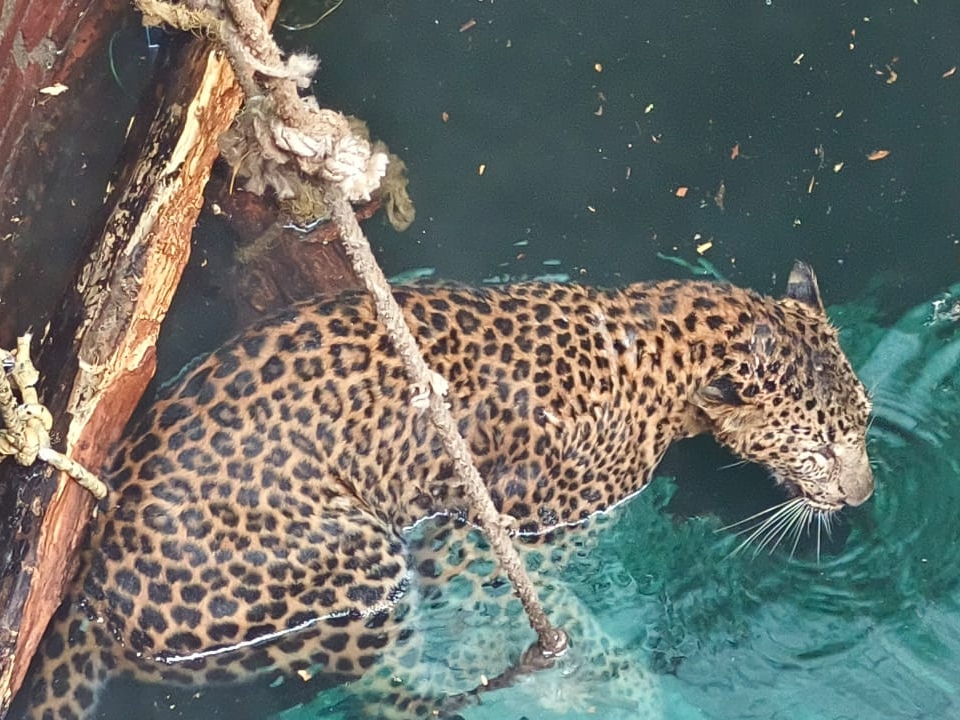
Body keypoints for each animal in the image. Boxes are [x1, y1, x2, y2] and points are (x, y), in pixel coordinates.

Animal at [16, 261, 873, 720]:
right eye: (819, 444)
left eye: (864, 422)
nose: (862, 498)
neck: (661, 347)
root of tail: (89, 594)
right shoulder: (483, 542)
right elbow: (560, 618)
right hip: (358, 567)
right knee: (385, 685)